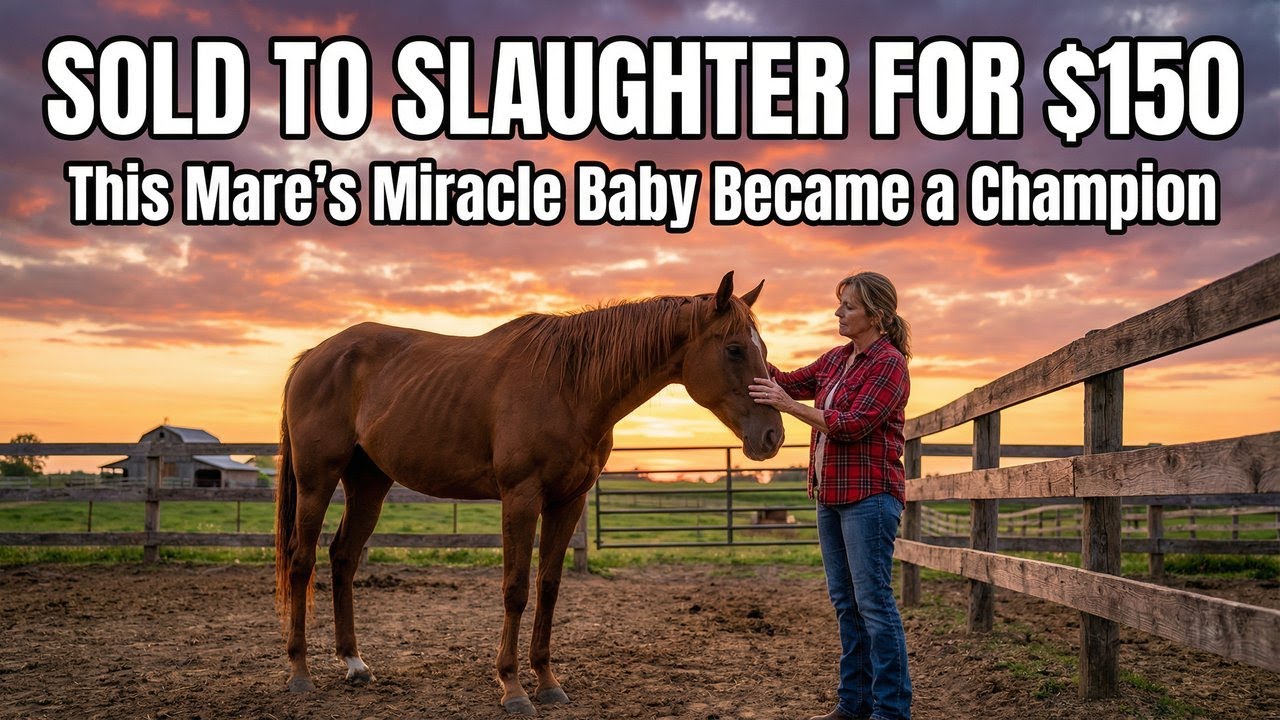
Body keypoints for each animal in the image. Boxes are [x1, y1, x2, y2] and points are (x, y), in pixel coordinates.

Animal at [274, 271, 785, 714]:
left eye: (762, 348)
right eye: (735, 349)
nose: (772, 436)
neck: (570, 384)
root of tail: (316, 354)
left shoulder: (568, 501)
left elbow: (549, 586)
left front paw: (548, 682)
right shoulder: (521, 498)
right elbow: (516, 589)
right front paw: (513, 687)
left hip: (369, 483)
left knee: (343, 557)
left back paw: (354, 664)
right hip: (318, 479)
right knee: (302, 561)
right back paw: (299, 673)